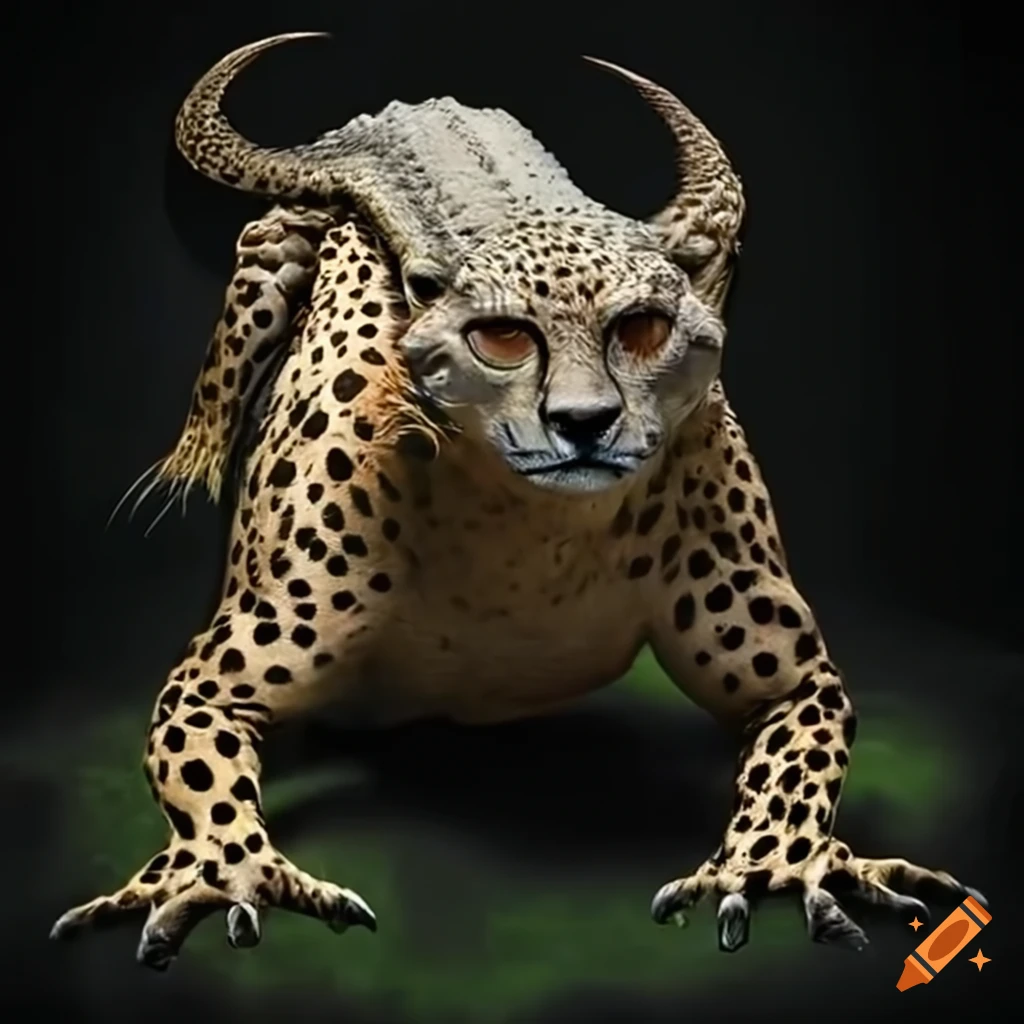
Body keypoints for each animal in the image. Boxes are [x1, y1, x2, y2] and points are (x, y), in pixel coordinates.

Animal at [50, 32, 985, 971]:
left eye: (643, 326)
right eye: (500, 334)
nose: (583, 422)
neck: (525, 542)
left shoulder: (793, 666)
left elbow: (798, 745)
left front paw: (776, 863)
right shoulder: (219, 670)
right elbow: (198, 753)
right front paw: (223, 874)